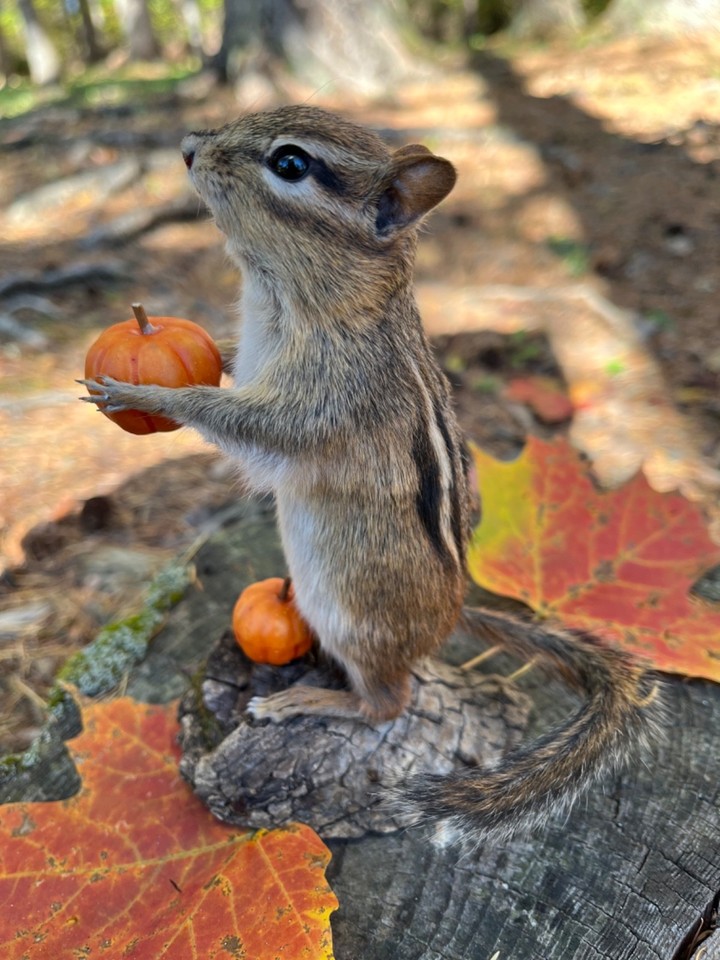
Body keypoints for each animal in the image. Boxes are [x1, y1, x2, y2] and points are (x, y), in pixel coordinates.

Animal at [81, 105, 660, 845]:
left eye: (291, 163)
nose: (186, 147)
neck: (289, 295)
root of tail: (452, 616)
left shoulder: (324, 400)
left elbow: (249, 429)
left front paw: (146, 394)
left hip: (354, 618)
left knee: (389, 703)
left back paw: (305, 701)